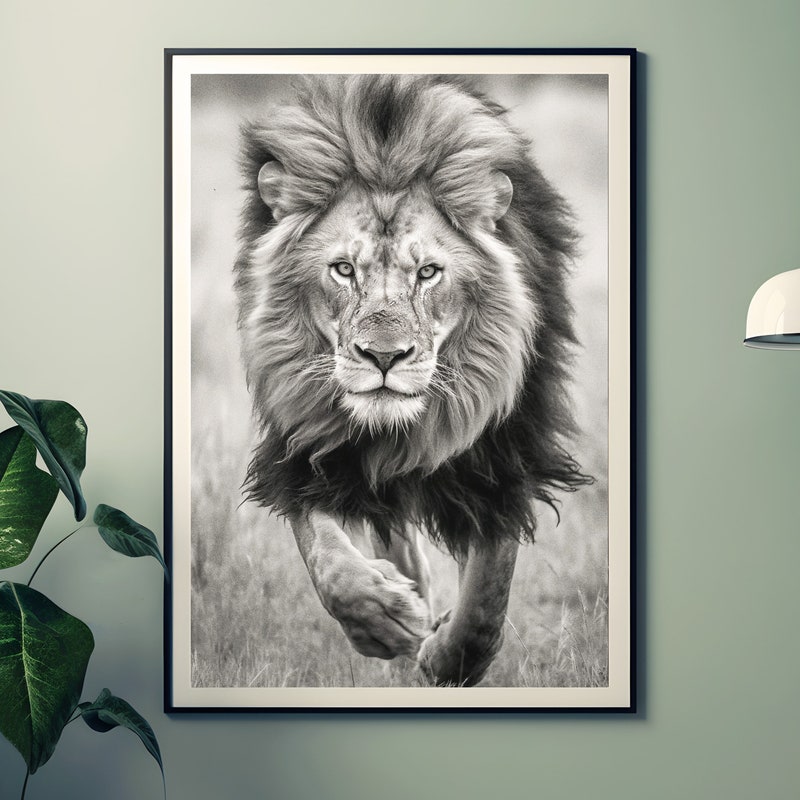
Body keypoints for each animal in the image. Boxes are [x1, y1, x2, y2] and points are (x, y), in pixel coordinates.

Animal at [234, 75, 590, 686]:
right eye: (343, 270)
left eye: (428, 273)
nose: (384, 357)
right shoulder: (306, 447)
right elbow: (330, 562)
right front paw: (384, 621)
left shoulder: (501, 459)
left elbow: (488, 592)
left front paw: (450, 660)